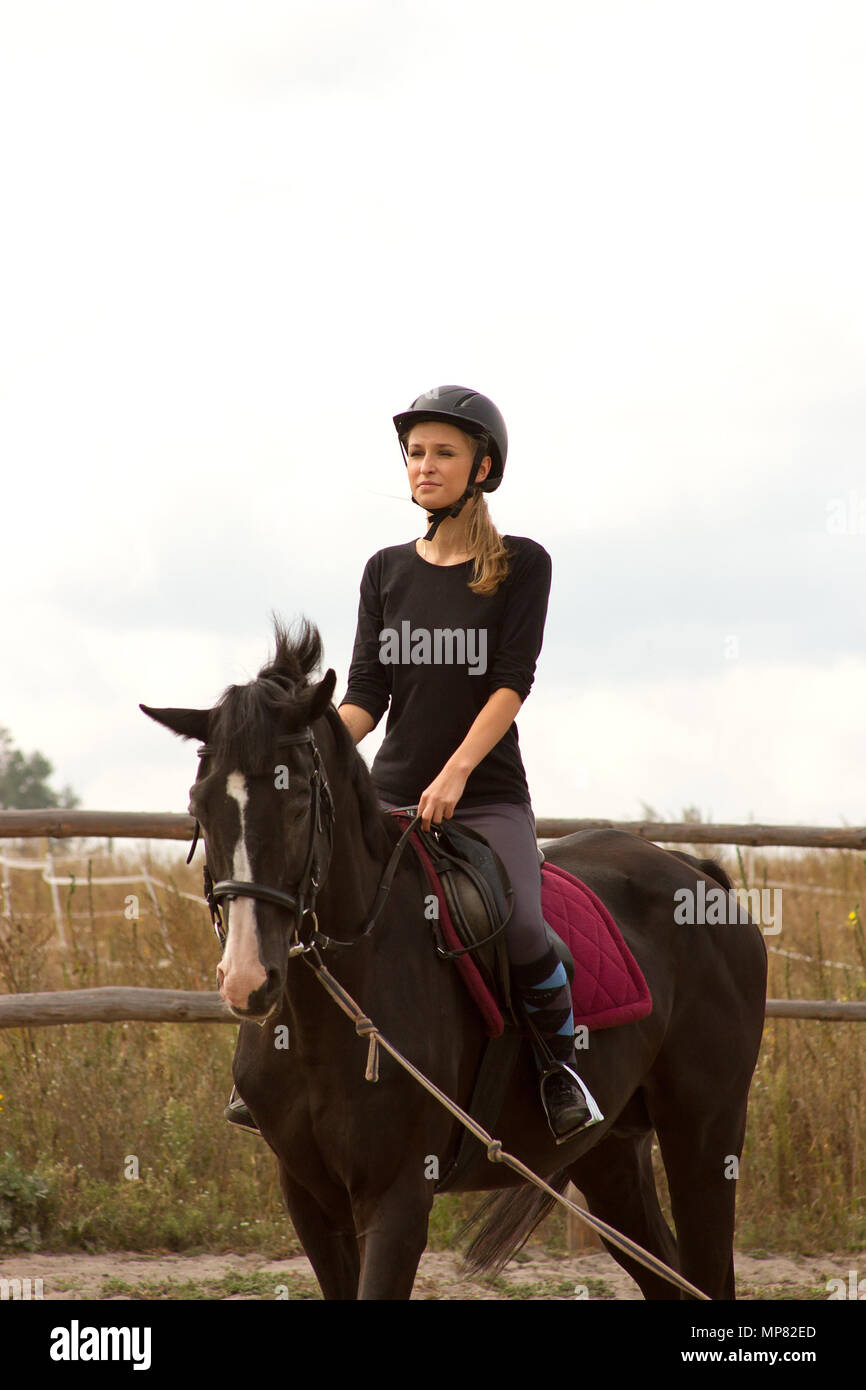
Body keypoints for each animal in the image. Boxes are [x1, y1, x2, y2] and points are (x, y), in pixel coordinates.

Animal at [141, 619, 767, 1300]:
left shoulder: (397, 1199)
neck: (321, 1021)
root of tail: (696, 873)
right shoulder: (308, 1199)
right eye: (200, 805)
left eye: (300, 801)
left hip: (703, 1139)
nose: (248, 979)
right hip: (611, 1155)